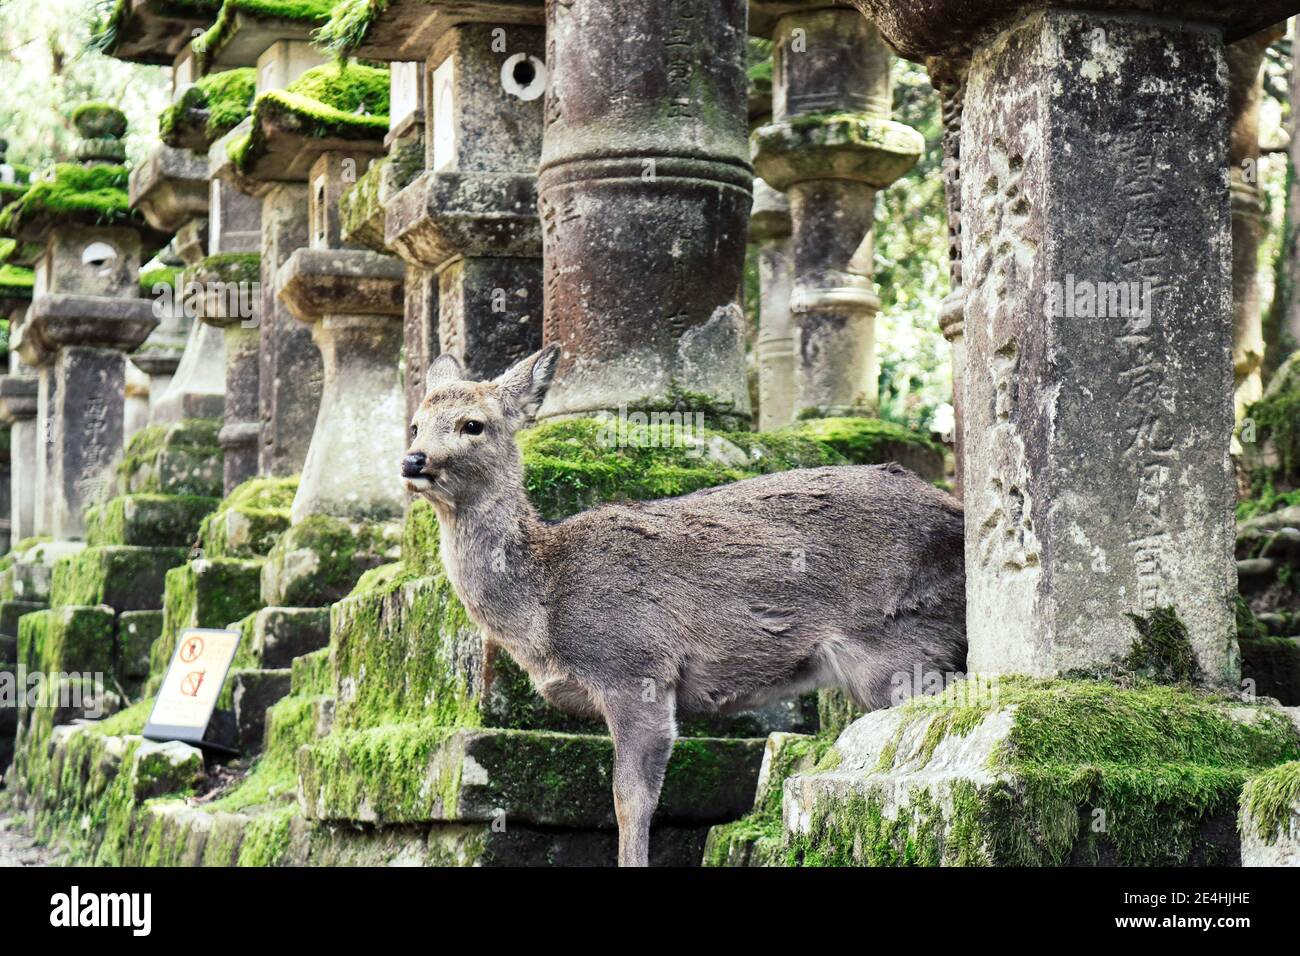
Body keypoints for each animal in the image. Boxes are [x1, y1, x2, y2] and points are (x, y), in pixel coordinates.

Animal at [401, 345, 967, 866]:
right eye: (415, 424)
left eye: (473, 424)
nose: (413, 460)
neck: (545, 603)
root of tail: (956, 508)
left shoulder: (635, 667)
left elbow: (630, 802)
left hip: (901, 645)